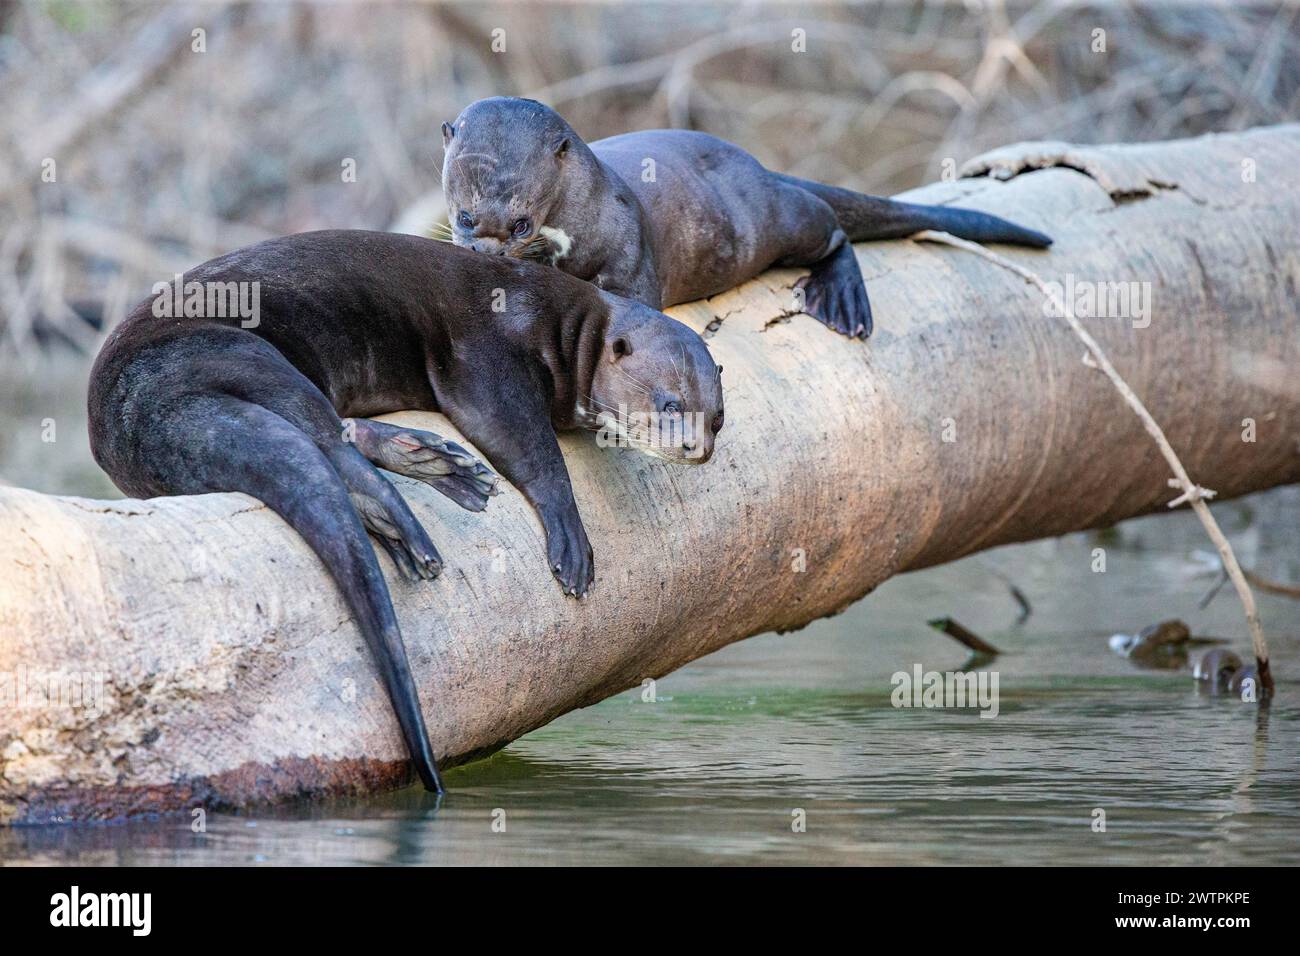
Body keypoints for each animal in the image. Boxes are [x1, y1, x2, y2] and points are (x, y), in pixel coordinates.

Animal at [88, 230, 723, 792]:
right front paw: (571, 542)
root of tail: (124, 411)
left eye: (716, 416)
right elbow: (525, 440)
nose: (699, 448)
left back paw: (433, 465)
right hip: (236, 350)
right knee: (327, 435)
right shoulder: (485, 353)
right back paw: (405, 517)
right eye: (670, 403)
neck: (564, 327)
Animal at [439, 97, 1052, 339]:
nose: (483, 252)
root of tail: (761, 166)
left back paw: (842, 299)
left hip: (781, 218)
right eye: (465, 216)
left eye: (521, 224)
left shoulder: (631, 248)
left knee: (829, 225)